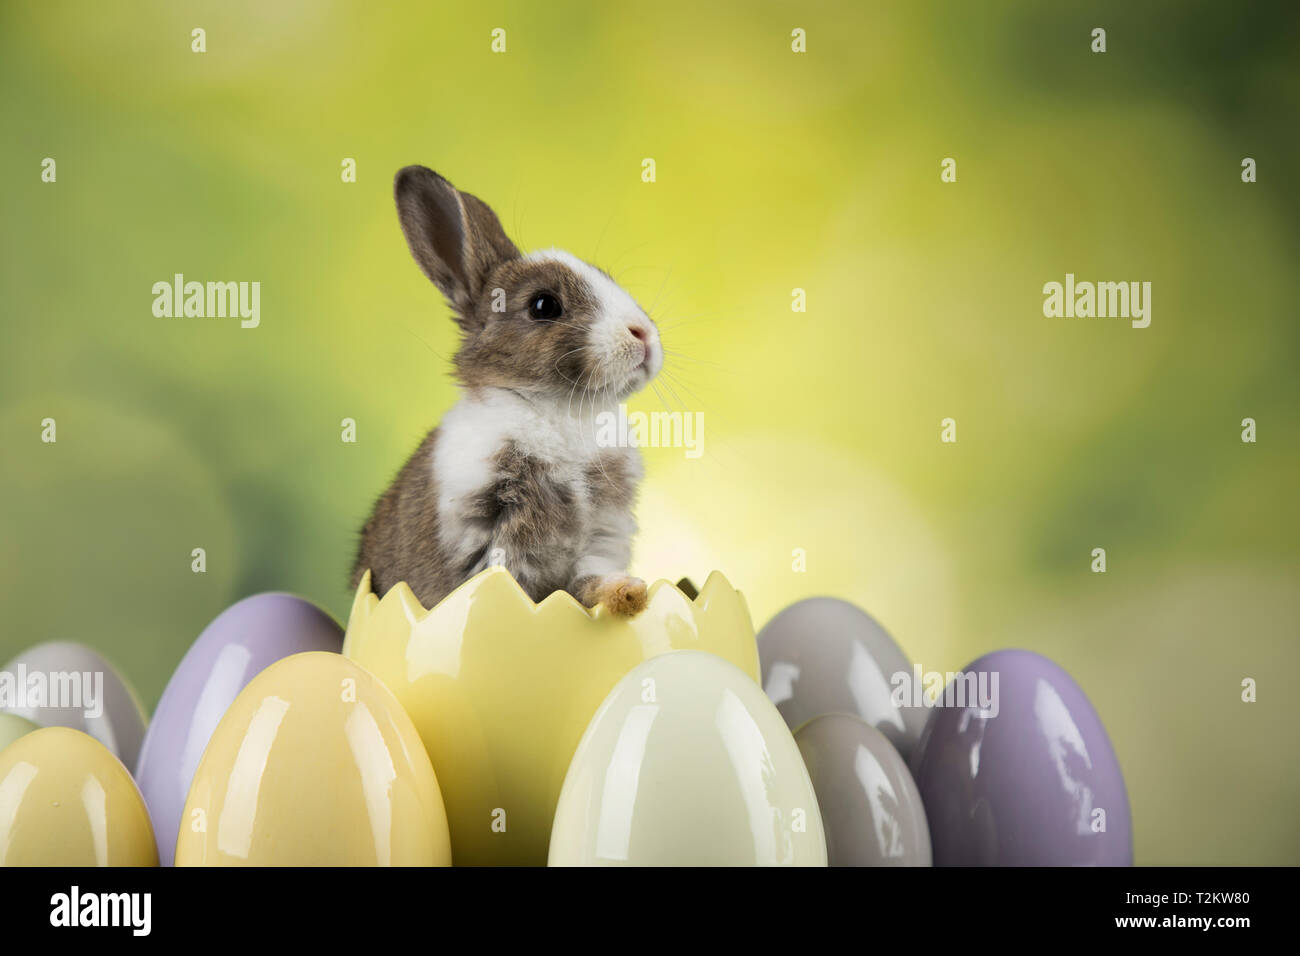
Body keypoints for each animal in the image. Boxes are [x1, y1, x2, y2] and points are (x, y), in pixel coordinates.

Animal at [350, 166, 663, 617]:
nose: (643, 334)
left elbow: (590, 577)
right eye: (543, 305)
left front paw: (628, 594)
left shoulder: (603, 533)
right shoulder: (490, 533)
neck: (561, 412)